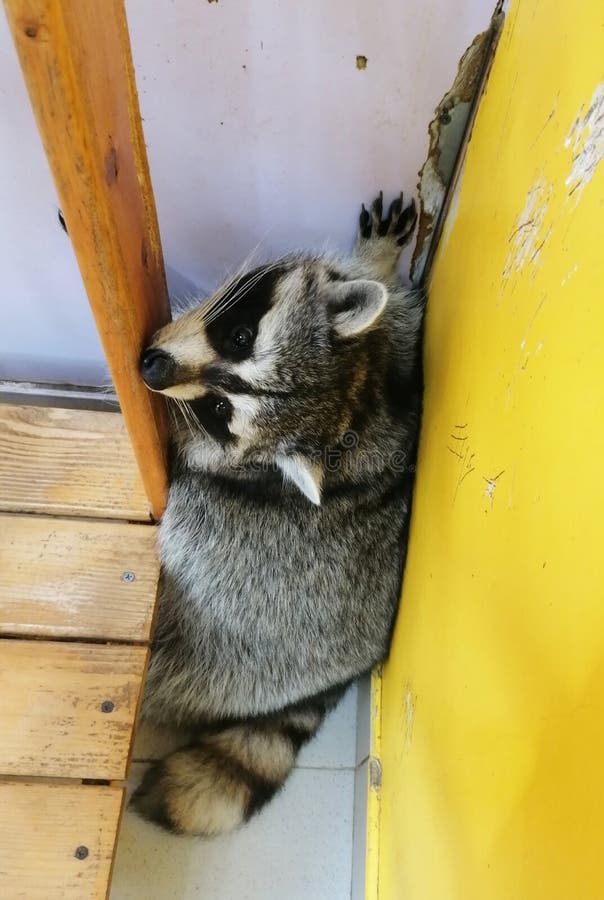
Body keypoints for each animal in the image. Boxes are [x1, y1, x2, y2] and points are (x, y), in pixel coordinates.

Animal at [133, 192, 423, 836]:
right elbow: (396, 303)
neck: (358, 393)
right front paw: (379, 263)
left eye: (219, 410)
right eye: (239, 334)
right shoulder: (403, 368)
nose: (151, 368)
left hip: (222, 650)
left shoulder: (202, 456)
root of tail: (353, 663)